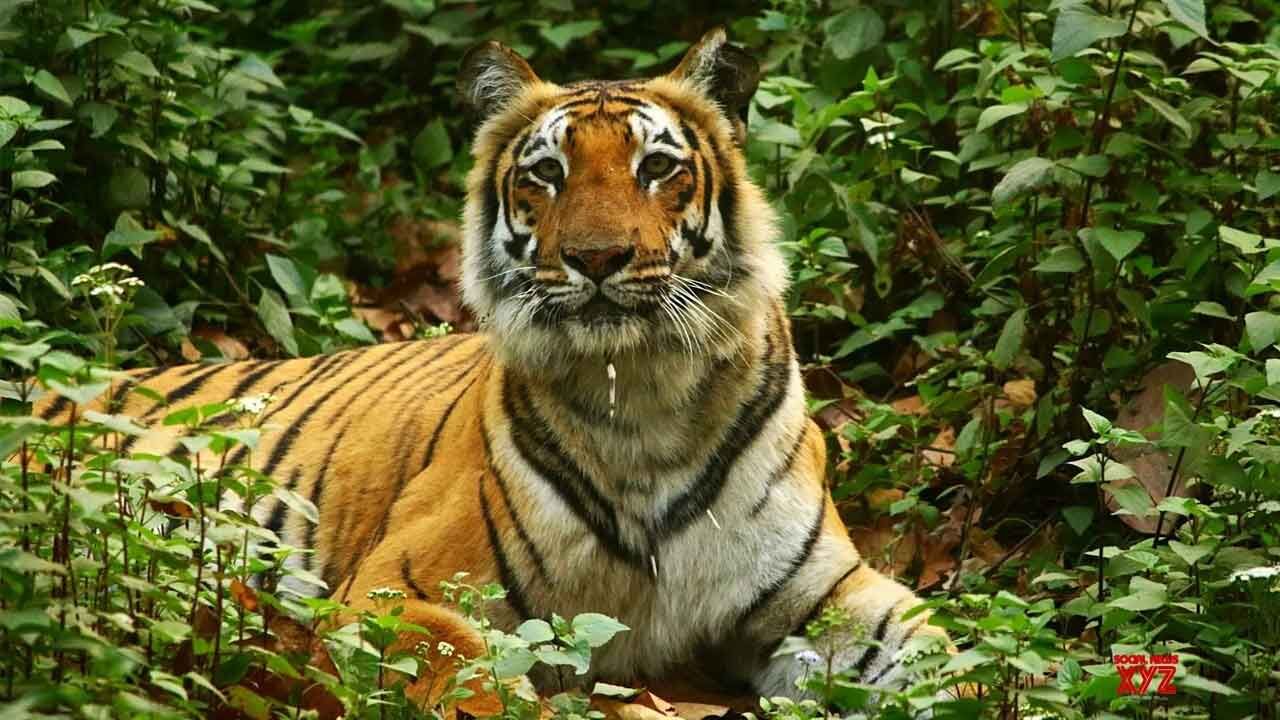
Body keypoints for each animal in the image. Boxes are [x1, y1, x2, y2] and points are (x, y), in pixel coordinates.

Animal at [35, 28, 949, 707]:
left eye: (657, 167)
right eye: (547, 173)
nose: (597, 258)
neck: (642, 395)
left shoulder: (826, 596)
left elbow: (951, 650)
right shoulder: (398, 591)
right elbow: (473, 677)